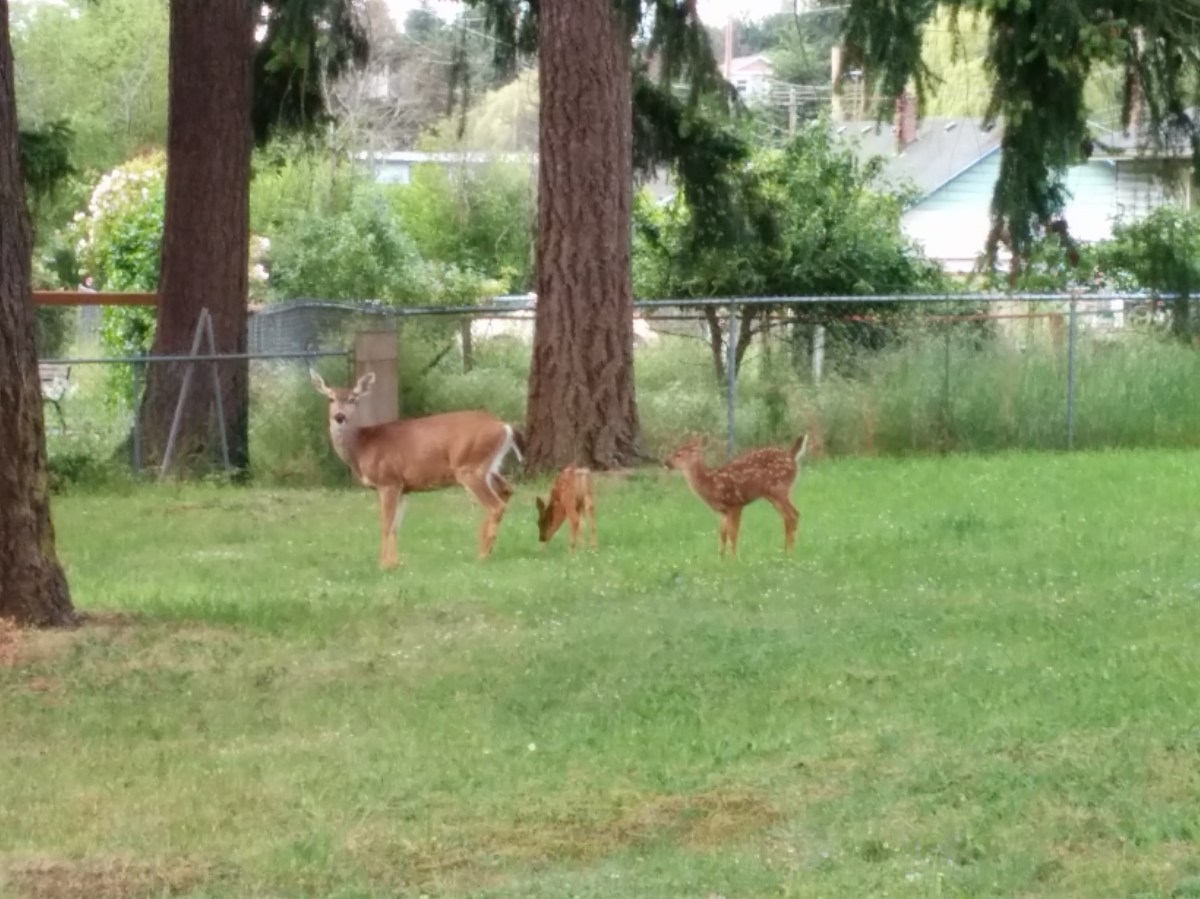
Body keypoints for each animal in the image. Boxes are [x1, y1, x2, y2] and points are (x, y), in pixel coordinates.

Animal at [310, 370, 524, 568]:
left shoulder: (388, 481)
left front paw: (383, 565)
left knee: (495, 505)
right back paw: (486, 548)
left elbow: (386, 524)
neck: (363, 447)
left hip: (468, 467)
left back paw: (482, 556)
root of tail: (505, 426)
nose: (339, 417)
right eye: (330, 398)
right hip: (489, 468)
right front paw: (395, 563)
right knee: (507, 490)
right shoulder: (402, 487)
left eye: (353, 399)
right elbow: (395, 526)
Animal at [665, 433, 809, 558]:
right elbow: (723, 534)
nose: (666, 462)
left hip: (779, 488)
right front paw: (721, 558)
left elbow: (733, 534)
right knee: (788, 516)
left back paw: (789, 552)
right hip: (772, 494)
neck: (711, 483)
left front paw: (734, 559)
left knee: (793, 514)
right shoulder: (723, 511)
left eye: (678, 454)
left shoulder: (735, 504)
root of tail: (791, 456)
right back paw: (785, 550)